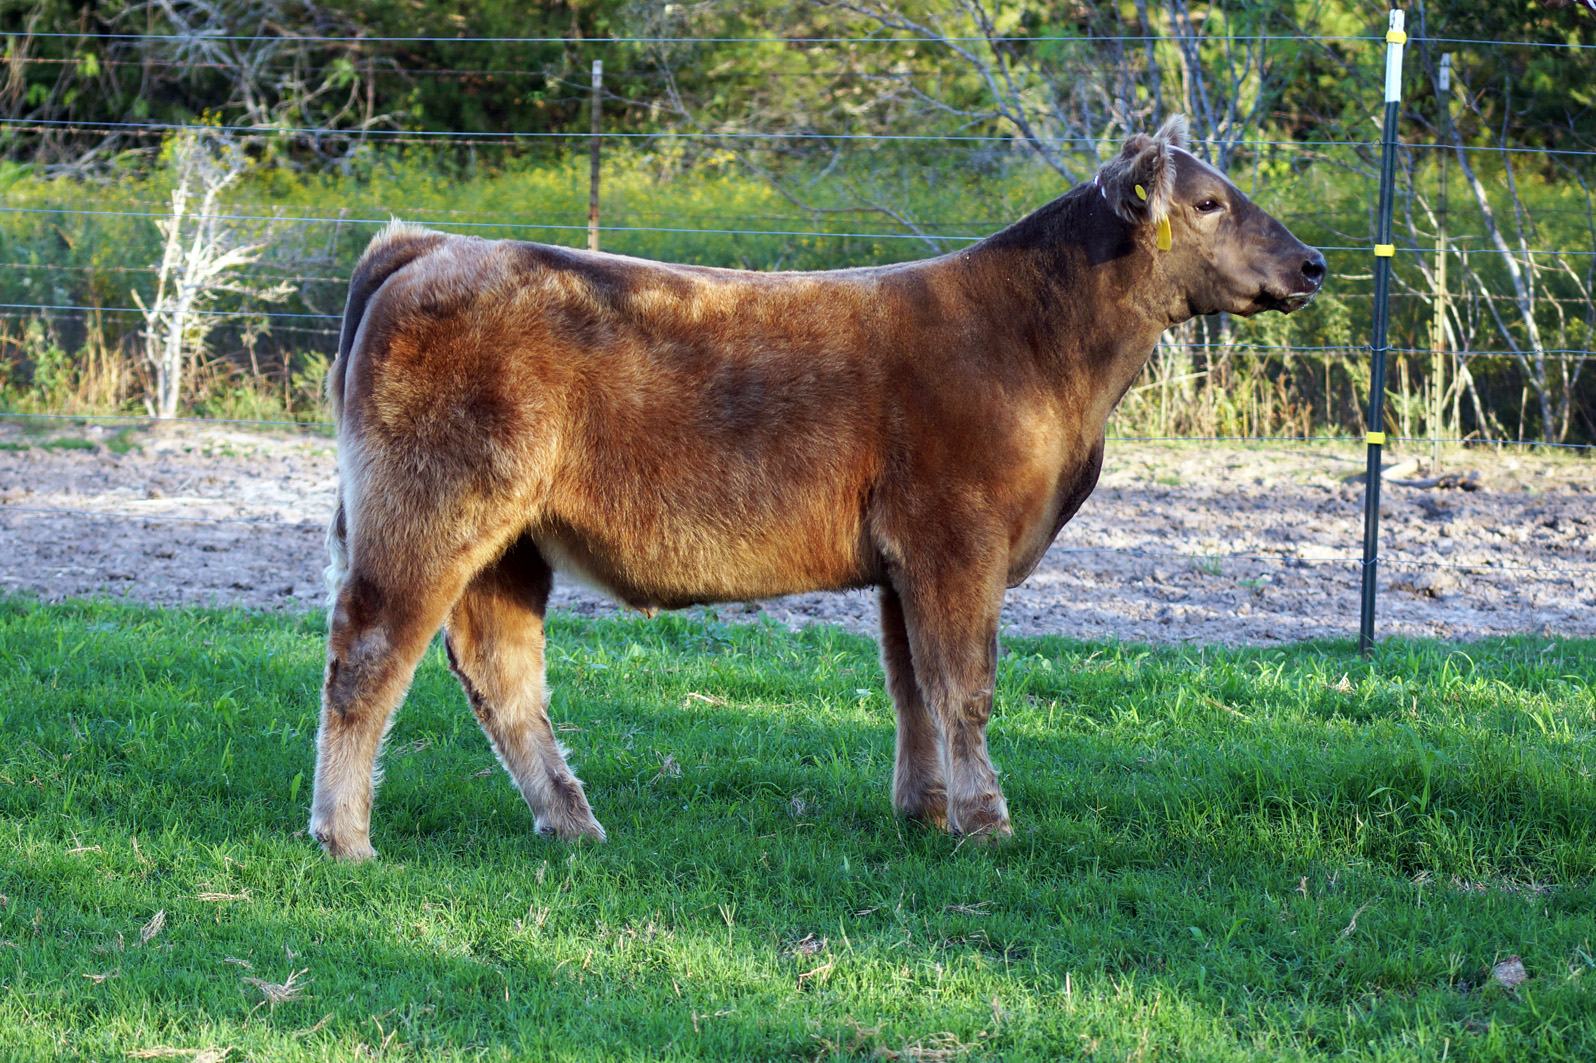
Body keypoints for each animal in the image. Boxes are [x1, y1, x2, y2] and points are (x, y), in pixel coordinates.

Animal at [310, 115, 1324, 861]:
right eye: (1208, 201)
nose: (1312, 262)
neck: (1040, 347)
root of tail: (433, 244)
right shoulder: (958, 541)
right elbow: (964, 686)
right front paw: (986, 821)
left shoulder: (907, 561)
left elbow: (911, 684)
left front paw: (923, 810)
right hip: (428, 516)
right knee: (368, 655)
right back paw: (346, 836)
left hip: (509, 542)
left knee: (502, 676)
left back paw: (572, 822)